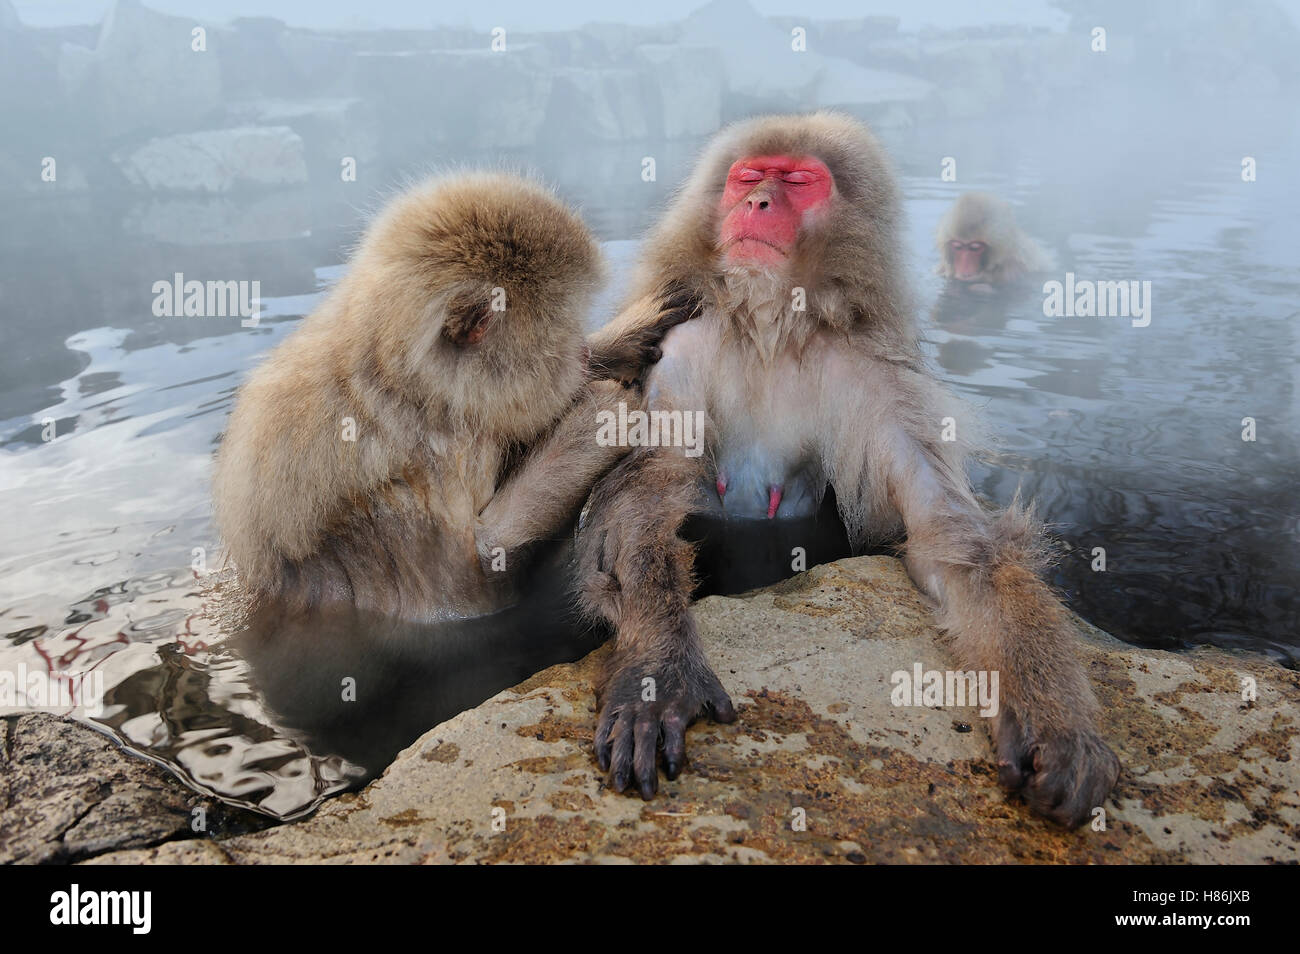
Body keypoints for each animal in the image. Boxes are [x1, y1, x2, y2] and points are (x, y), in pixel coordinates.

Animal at [212, 172, 690, 623]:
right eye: (560, 330)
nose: (582, 353)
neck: (409, 390)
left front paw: (623, 338)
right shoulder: (405, 486)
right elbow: (470, 578)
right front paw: (597, 423)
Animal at [576, 113, 1120, 827]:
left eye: (799, 182)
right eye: (749, 178)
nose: (757, 203)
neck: (768, 327)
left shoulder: (878, 378)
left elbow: (950, 540)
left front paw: (1053, 718)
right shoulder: (679, 347)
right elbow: (648, 494)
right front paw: (656, 670)